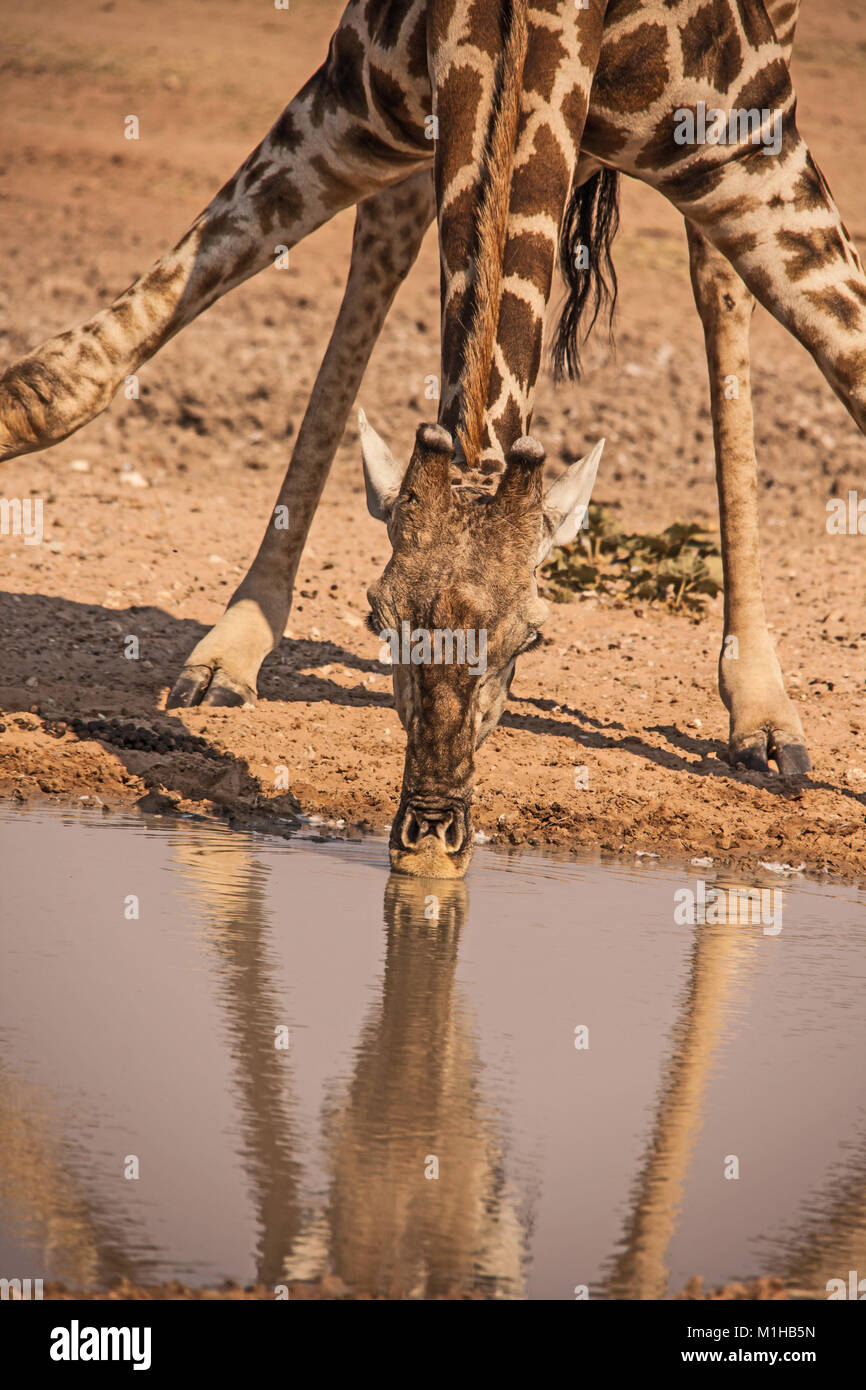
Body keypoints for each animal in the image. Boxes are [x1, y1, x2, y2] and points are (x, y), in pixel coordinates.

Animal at [1, 1, 862, 876]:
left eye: (534, 637)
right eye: (378, 618)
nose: (429, 840)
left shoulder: (748, 146)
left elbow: (849, 371)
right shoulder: (347, 105)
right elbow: (53, 389)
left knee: (718, 286)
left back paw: (764, 717)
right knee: (385, 239)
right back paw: (230, 651)